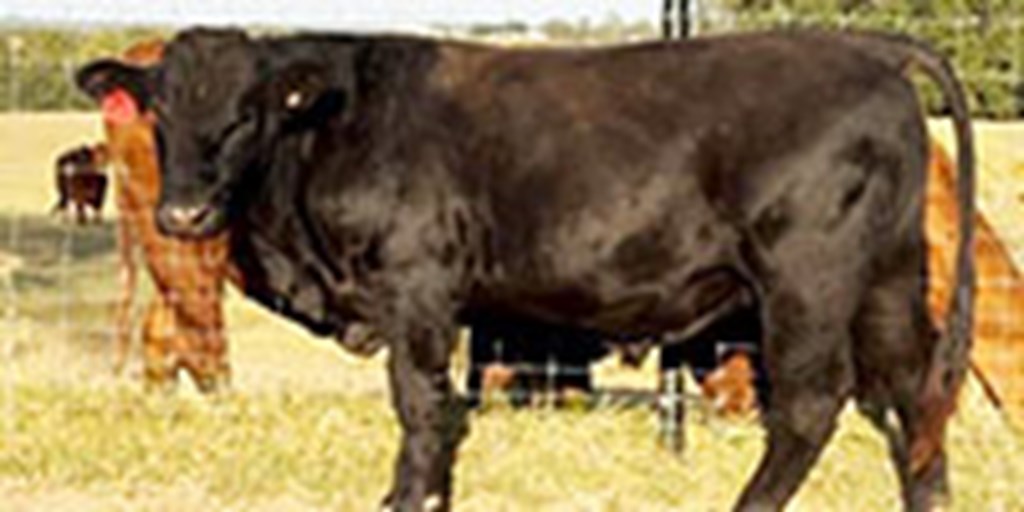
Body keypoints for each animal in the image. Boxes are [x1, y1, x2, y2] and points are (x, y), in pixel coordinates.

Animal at [78, 28, 974, 511]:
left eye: (246, 116)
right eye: (159, 114)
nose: (184, 215)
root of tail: (865, 51)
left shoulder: (419, 289)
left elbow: (423, 411)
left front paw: (402, 498)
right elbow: (445, 416)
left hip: (806, 281)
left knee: (812, 405)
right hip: (888, 281)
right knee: (912, 400)